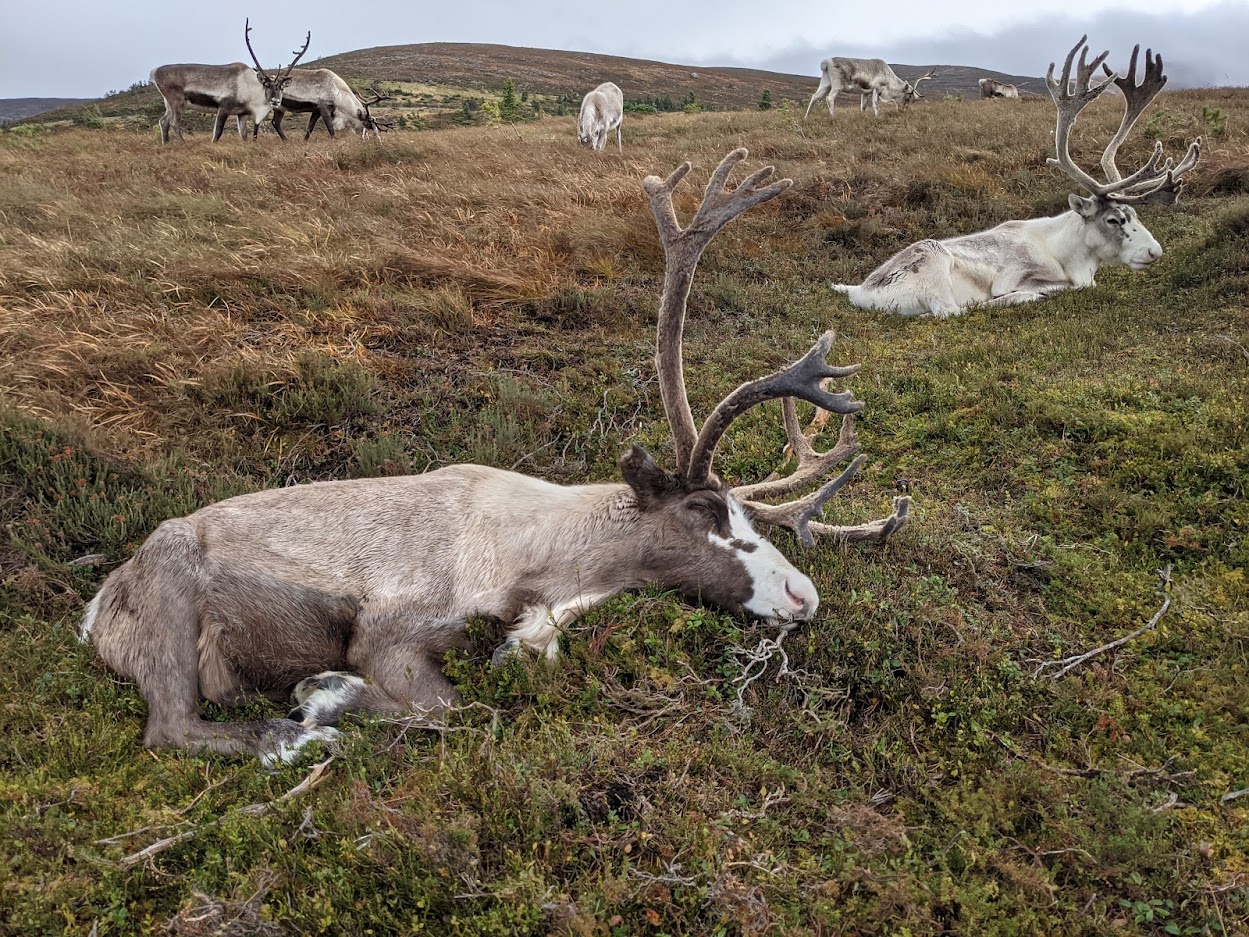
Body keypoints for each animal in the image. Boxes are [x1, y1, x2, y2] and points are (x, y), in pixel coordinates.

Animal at [79, 148, 910, 764]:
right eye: (705, 507)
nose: (803, 595)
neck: (538, 549)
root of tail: (97, 609)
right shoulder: (389, 626)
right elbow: (451, 706)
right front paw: (324, 694)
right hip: (171, 597)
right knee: (172, 726)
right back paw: (292, 738)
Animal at [150, 20, 310, 144]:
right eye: (266, 85)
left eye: (281, 87)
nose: (276, 101)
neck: (251, 88)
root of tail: (154, 72)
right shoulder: (224, 108)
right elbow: (217, 133)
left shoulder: (242, 114)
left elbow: (244, 135)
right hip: (176, 102)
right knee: (173, 123)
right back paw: (183, 144)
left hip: (169, 104)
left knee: (163, 121)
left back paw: (166, 145)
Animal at [804, 58, 936, 119]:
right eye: (908, 97)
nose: (903, 111)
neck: (889, 80)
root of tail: (826, 63)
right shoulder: (876, 89)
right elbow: (875, 105)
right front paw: (877, 117)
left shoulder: (865, 92)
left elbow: (863, 106)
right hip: (837, 85)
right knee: (829, 98)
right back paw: (834, 117)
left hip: (825, 84)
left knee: (815, 96)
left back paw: (806, 117)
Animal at [832, 37, 1201, 318]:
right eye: (1113, 219)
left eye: (1134, 214)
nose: (1154, 251)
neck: (1068, 253)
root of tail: (858, 290)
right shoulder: (1015, 277)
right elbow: (1064, 286)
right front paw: (1036, 293)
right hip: (933, 257)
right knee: (951, 311)